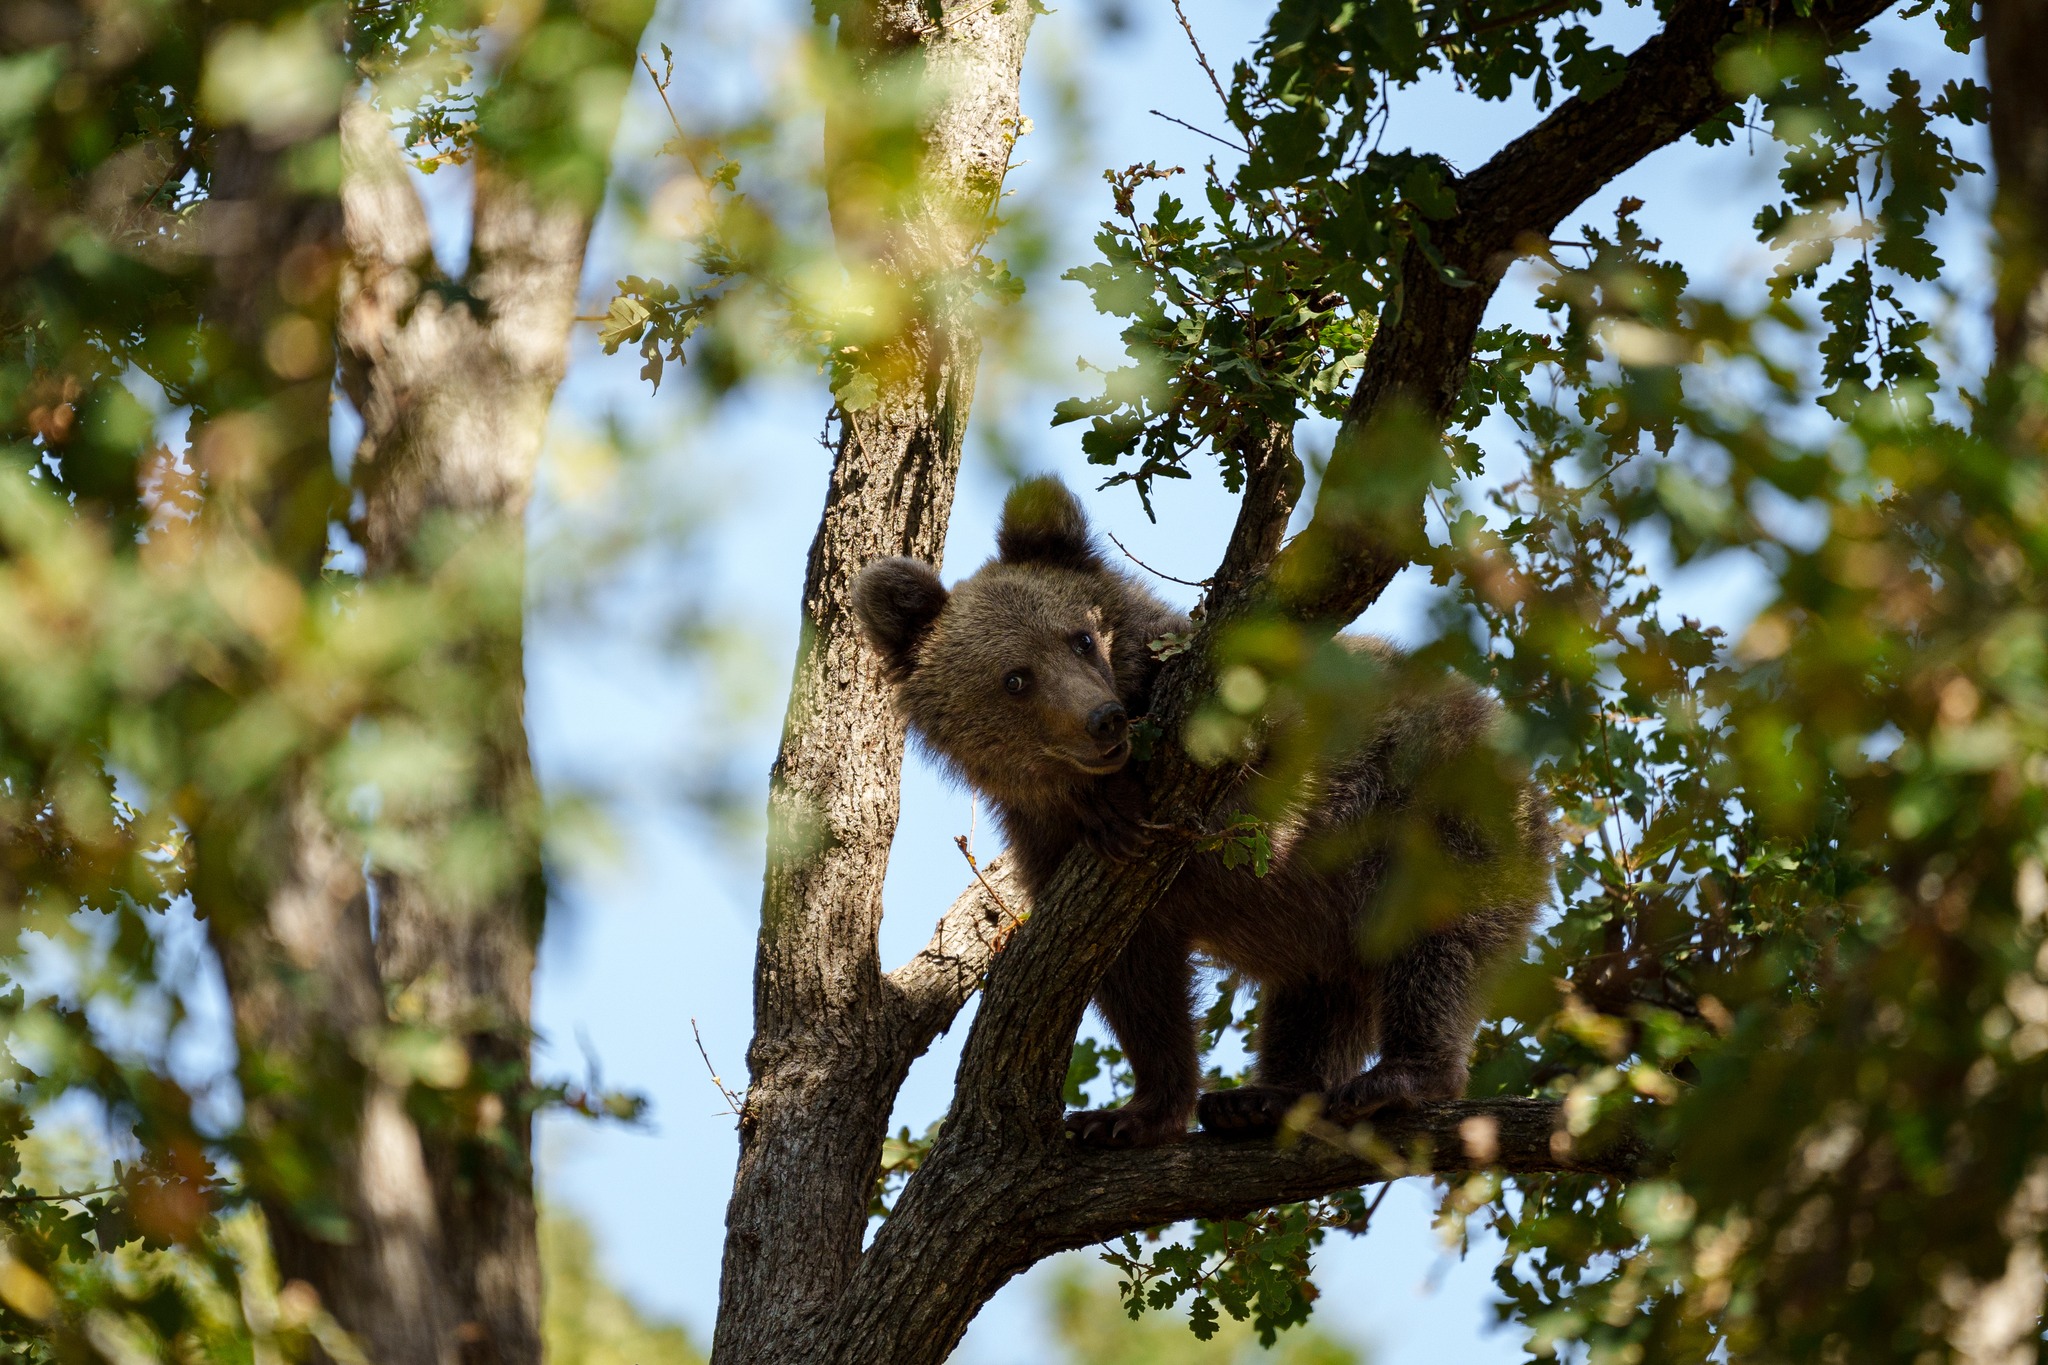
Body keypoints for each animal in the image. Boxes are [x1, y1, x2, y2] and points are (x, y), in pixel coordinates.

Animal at [851, 477, 1556, 1147]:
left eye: (1081, 638)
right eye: (1015, 679)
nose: (1102, 720)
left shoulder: (1278, 738)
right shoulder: (1052, 851)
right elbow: (1135, 979)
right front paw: (1131, 1114)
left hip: (1440, 806)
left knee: (1439, 937)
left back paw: (1403, 1075)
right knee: (1320, 992)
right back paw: (1265, 1096)